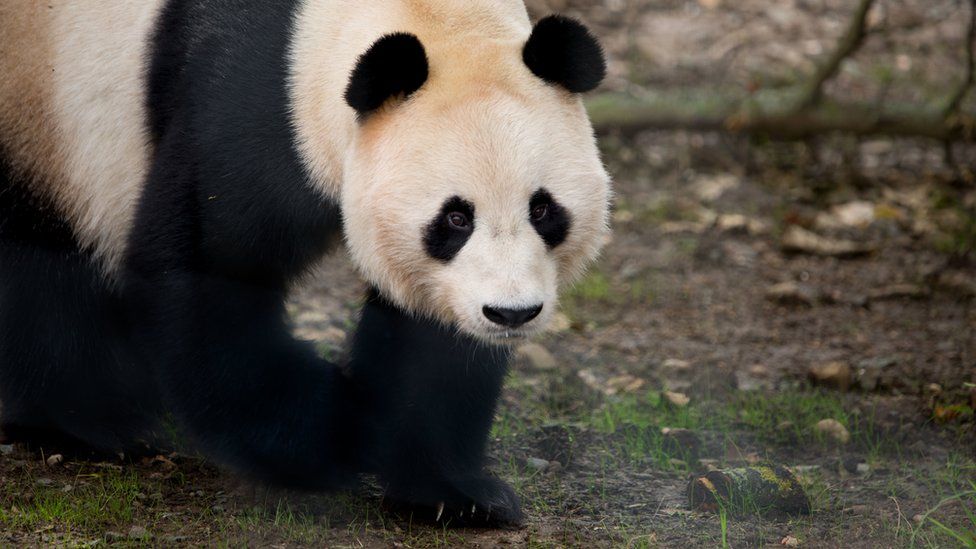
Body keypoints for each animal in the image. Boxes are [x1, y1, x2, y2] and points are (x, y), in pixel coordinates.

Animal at [0, 0, 610, 526]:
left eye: (543, 209)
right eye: (456, 218)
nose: (511, 314)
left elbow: (433, 340)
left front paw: (455, 493)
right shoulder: (248, 100)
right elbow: (206, 279)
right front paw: (343, 429)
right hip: (38, 107)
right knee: (41, 268)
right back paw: (90, 420)